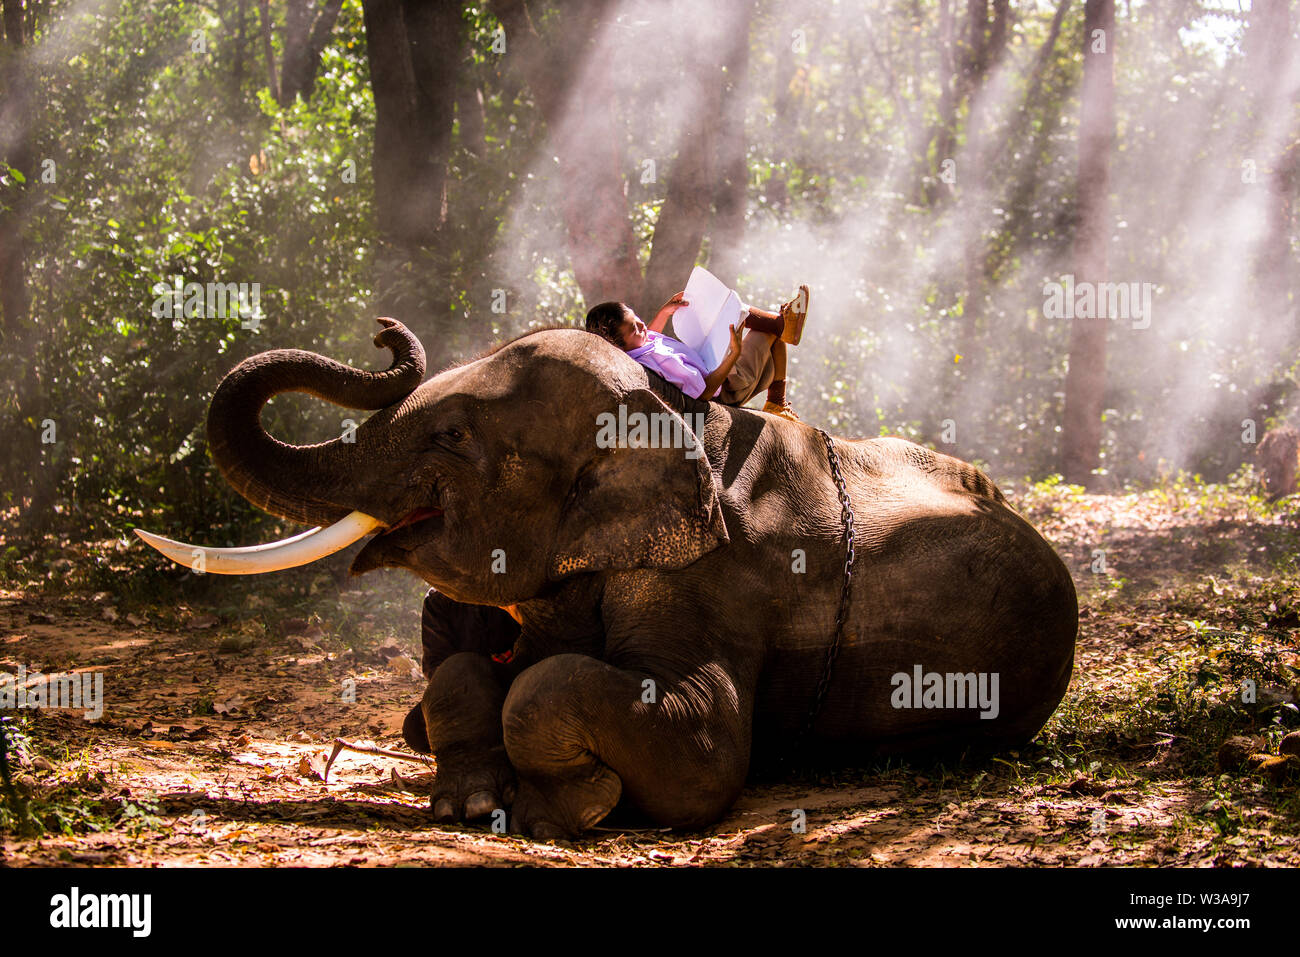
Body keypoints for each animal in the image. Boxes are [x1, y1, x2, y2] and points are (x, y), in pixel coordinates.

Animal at [139, 317, 1078, 838]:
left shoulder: (717, 576)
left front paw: (572, 807)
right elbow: (464, 668)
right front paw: (468, 803)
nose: (383, 335)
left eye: (452, 435)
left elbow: (703, 752)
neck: (669, 417)